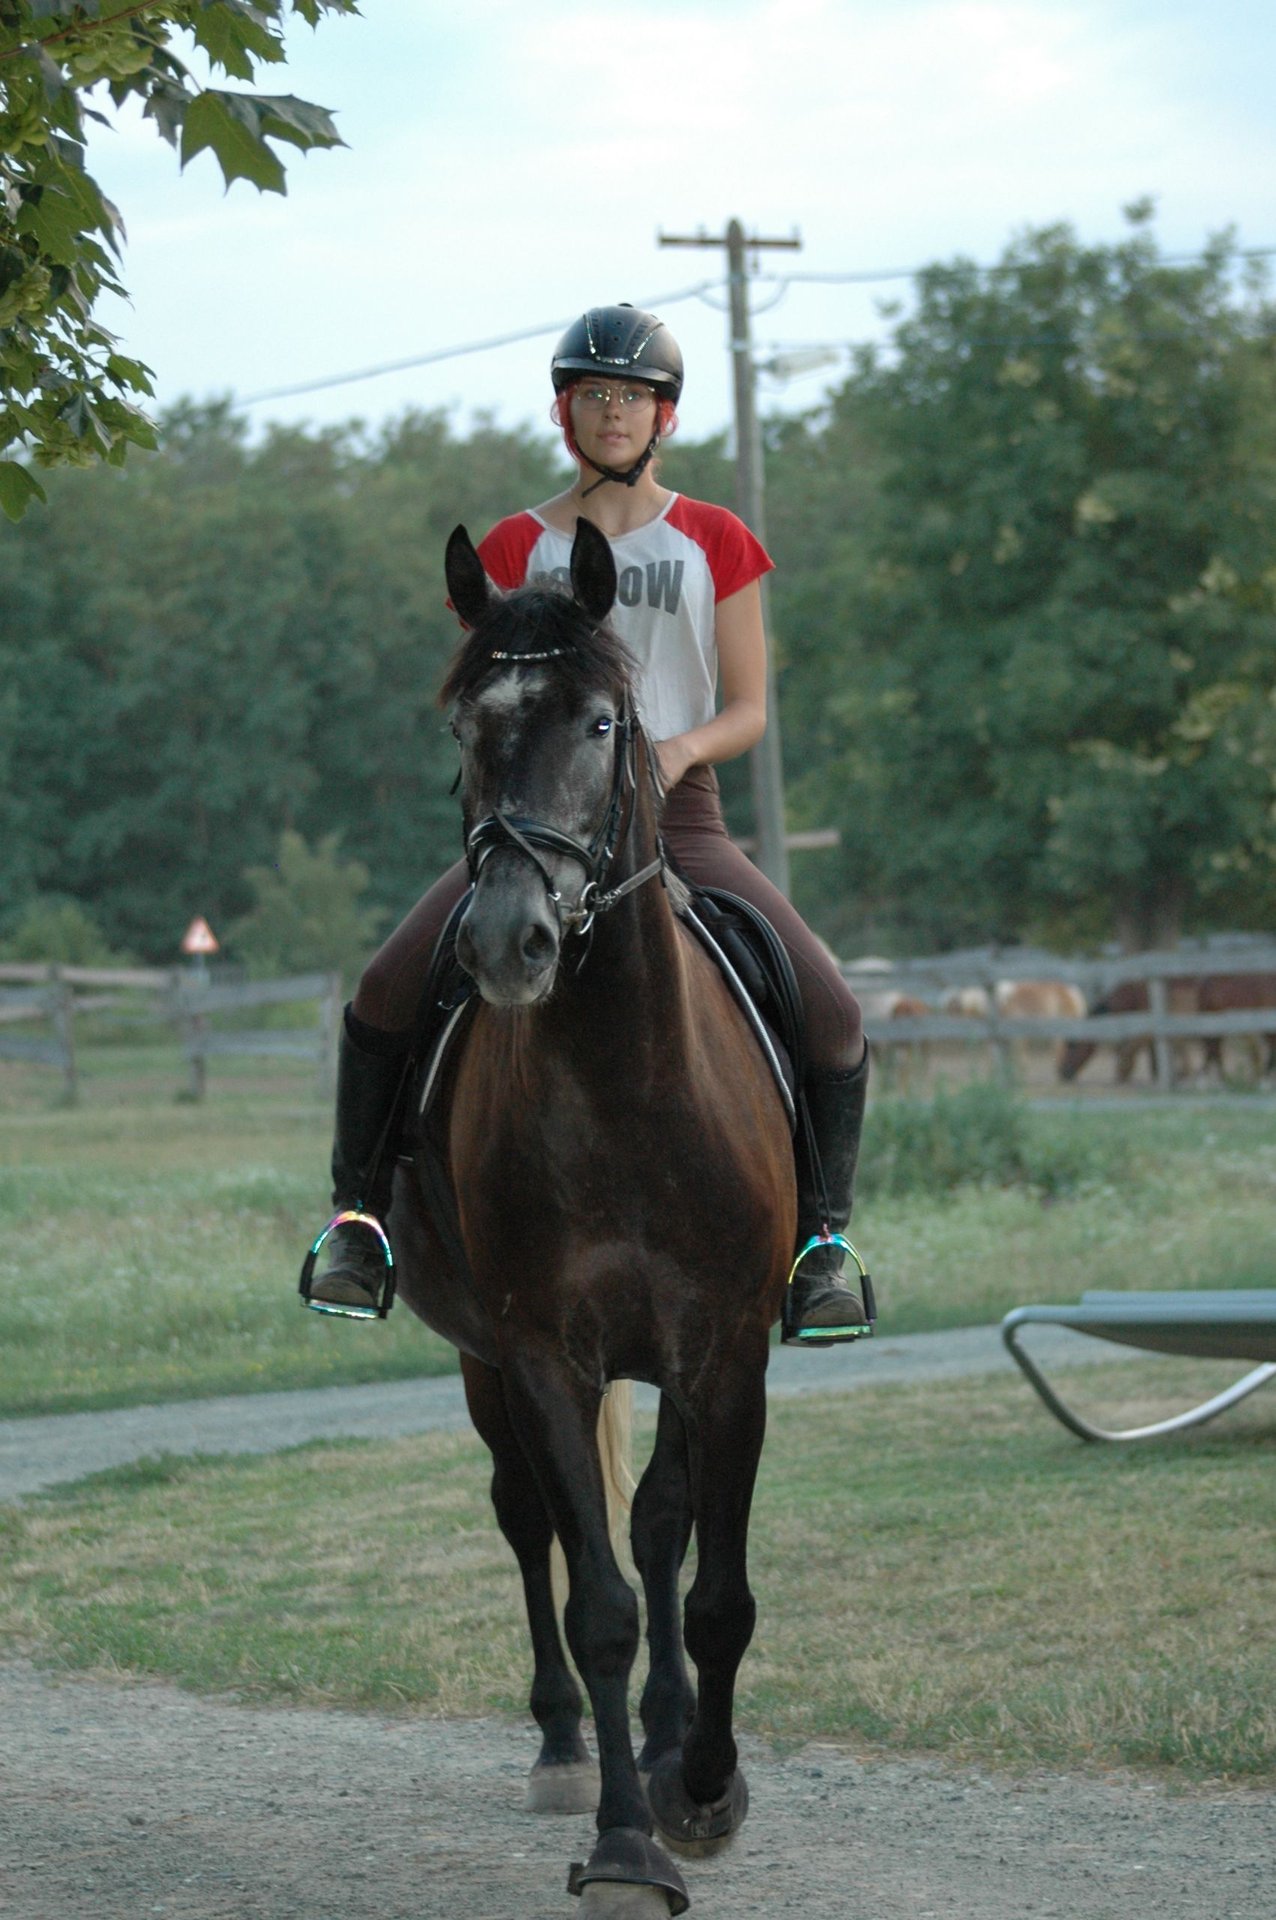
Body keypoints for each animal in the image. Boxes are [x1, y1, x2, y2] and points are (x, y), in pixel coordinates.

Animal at [387, 519, 797, 1916]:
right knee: (532, 1522)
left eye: (604, 723)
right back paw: (567, 1745)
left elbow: (711, 1588)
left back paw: (674, 1740)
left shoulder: (725, 1349)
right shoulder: (542, 1355)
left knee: (660, 1522)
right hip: (482, 1362)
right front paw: (624, 1843)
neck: (621, 1082)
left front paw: (703, 1789)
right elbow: (601, 1602)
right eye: (464, 727)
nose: (508, 941)